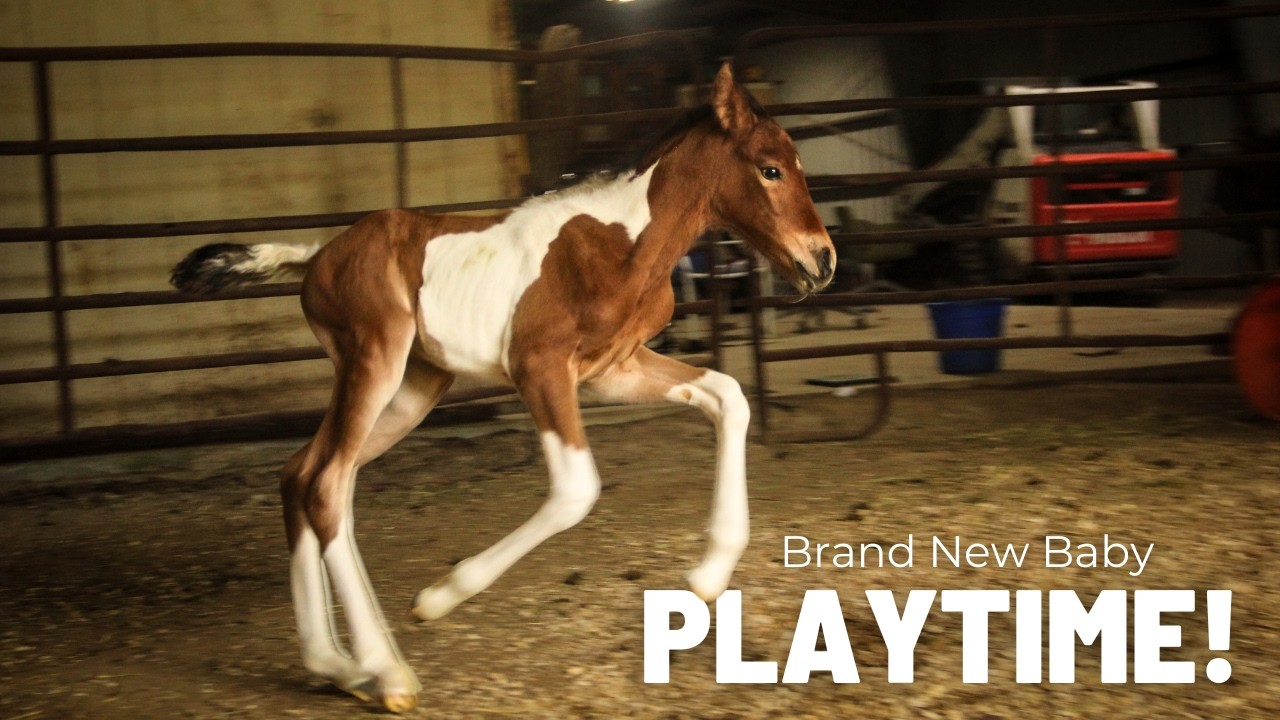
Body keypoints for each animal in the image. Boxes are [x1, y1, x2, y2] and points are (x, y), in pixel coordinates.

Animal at [171, 63, 834, 712]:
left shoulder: (613, 371)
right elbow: (575, 489)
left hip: (414, 387)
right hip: (373, 361)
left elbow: (729, 396)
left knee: (305, 475)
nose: (822, 259)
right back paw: (385, 670)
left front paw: (707, 577)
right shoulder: (538, 368)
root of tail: (315, 258)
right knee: (327, 484)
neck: (622, 244)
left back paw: (338, 666)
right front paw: (441, 595)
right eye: (770, 169)